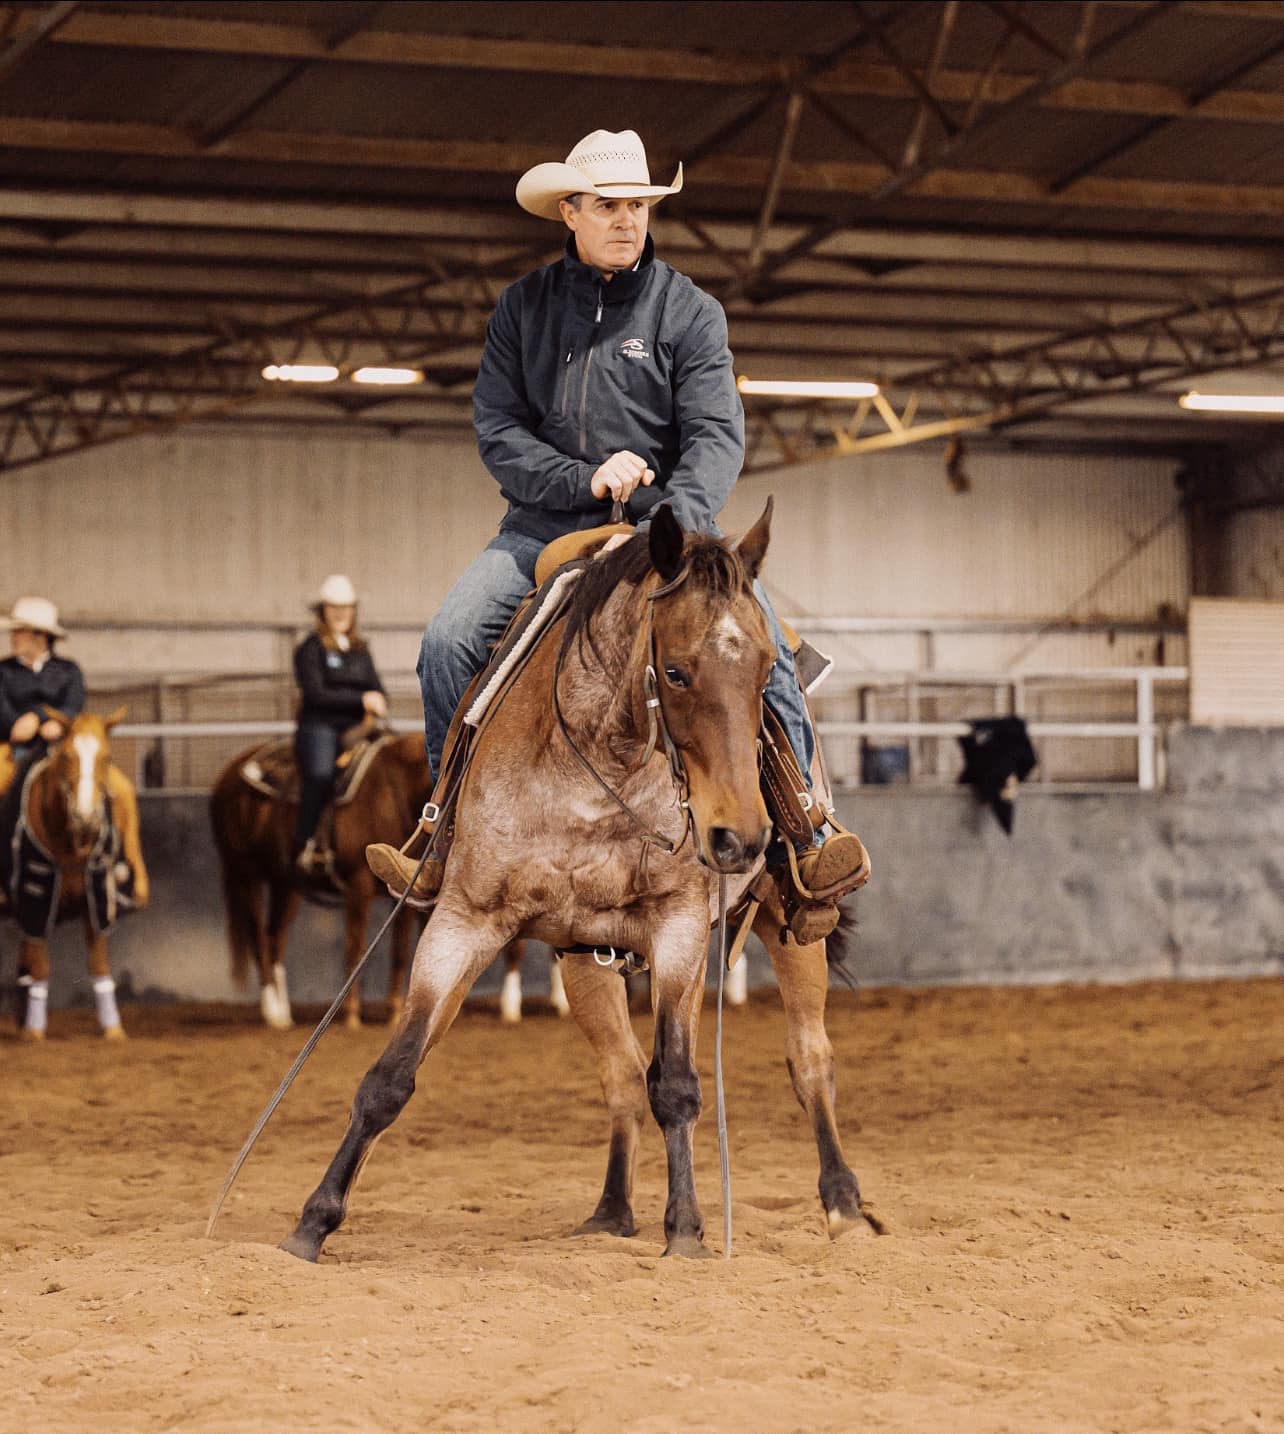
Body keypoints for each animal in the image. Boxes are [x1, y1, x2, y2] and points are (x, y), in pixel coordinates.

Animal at [1, 710, 148, 1041]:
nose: (86, 816)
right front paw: (35, 1030)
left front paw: (113, 1028)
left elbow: (99, 964)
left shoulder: (97, 899)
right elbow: (41, 965)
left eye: (106, 757)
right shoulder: (35, 897)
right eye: (67, 756)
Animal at [209, 731, 432, 1030]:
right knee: (258, 936)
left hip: (285, 885)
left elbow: (400, 952)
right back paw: (272, 1011)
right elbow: (355, 948)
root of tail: (229, 773)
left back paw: (283, 1013)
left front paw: (395, 1013)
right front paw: (352, 1015)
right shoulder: (358, 884)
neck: (392, 793)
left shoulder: (404, 892)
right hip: (246, 874)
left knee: (274, 937)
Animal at [279, 500, 874, 1262]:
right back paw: (611, 1211)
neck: (595, 768)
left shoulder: (679, 928)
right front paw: (312, 1225)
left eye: (769, 666)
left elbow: (677, 1084)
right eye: (675, 672)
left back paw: (844, 1204)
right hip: (583, 958)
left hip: (788, 925)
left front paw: (686, 1233)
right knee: (620, 1074)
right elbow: (391, 1074)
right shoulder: (465, 919)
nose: (740, 837)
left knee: (809, 1060)